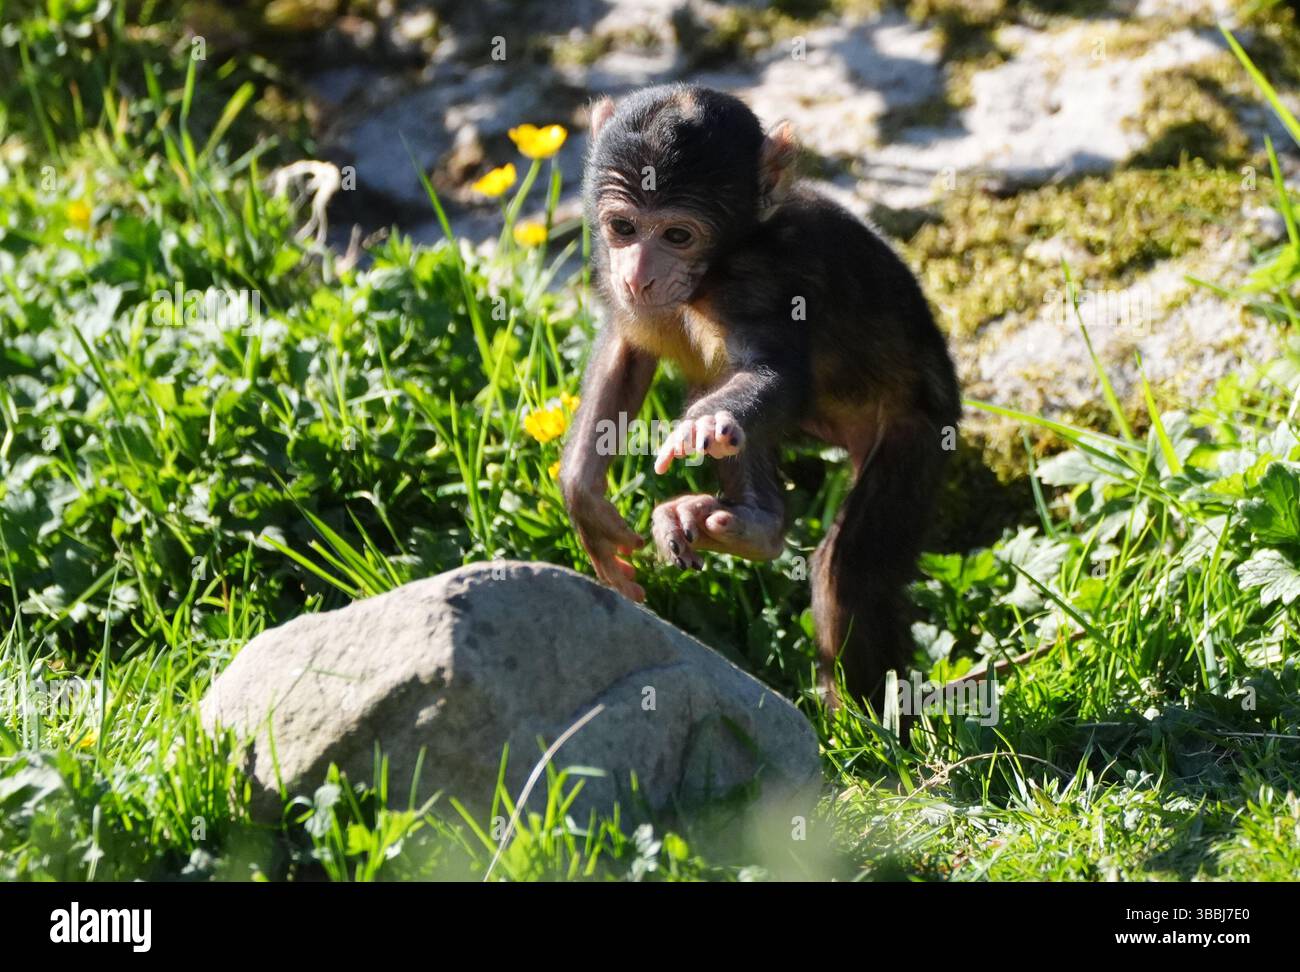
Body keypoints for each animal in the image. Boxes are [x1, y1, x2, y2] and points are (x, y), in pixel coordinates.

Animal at [558, 84, 961, 712]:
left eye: (677, 235)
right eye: (623, 226)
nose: (640, 275)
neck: (715, 268)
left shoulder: (762, 280)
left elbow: (772, 372)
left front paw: (701, 426)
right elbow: (628, 346)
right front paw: (585, 500)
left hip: (919, 433)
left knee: (849, 573)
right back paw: (754, 522)